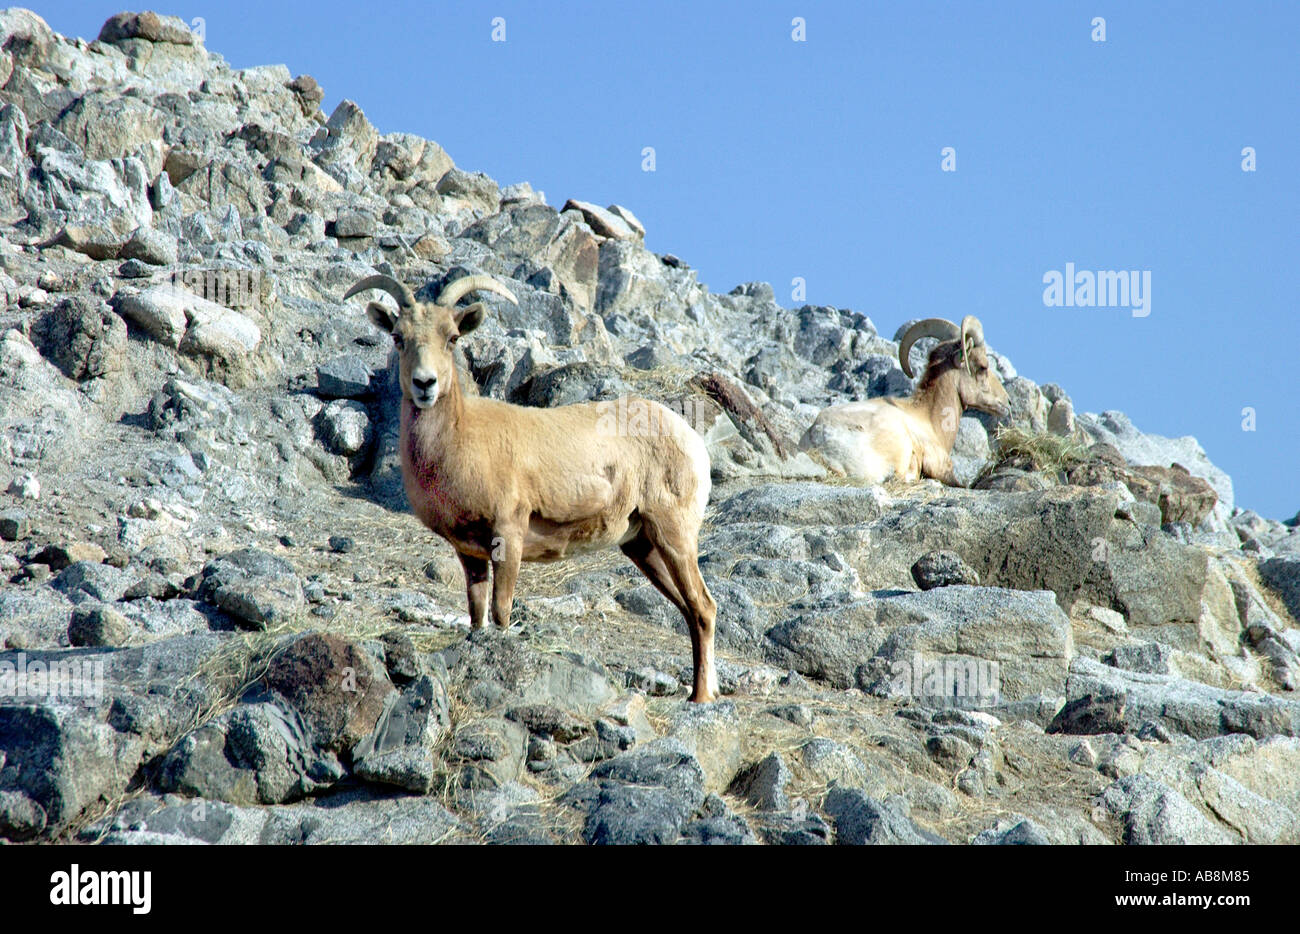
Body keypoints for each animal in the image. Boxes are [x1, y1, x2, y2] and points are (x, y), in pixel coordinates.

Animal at [343, 273, 721, 701]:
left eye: (452, 337)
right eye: (398, 337)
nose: (425, 384)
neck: (459, 442)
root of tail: (690, 437)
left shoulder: (508, 537)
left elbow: (501, 612)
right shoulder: (469, 553)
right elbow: (477, 616)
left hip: (674, 535)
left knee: (703, 608)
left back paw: (701, 697)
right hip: (643, 547)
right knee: (689, 609)